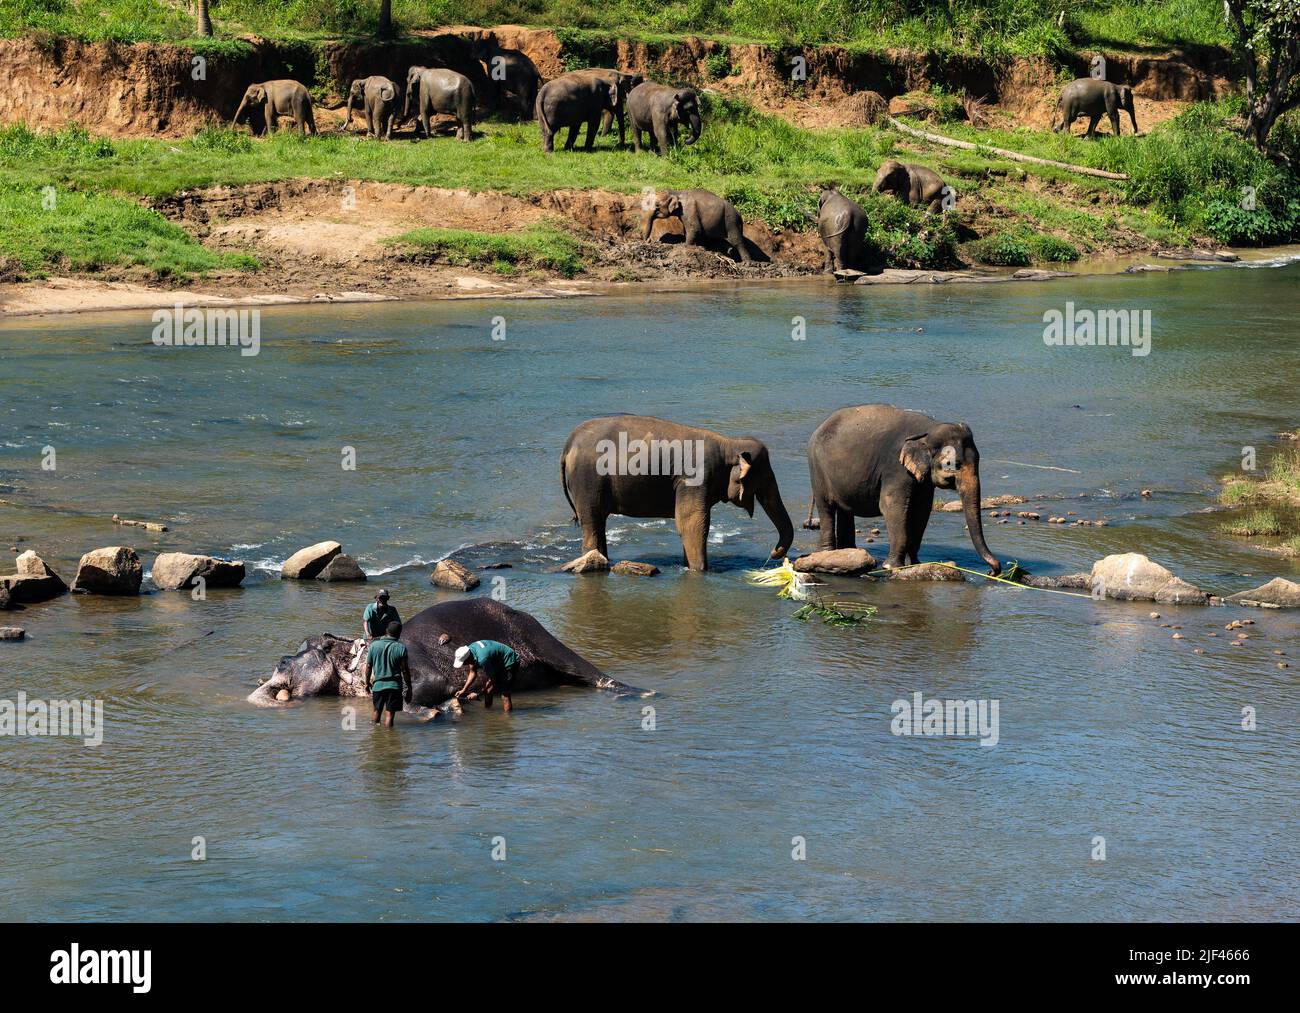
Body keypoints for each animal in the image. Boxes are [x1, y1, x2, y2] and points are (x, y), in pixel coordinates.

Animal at [561, 415, 795, 571]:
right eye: (765, 479)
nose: (773, 554)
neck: (728, 443)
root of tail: (569, 443)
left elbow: (689, 524)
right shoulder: (694, 478)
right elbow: (692, 523)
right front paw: (700, 571)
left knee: (598, 523)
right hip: (587, 481)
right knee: (592, 522)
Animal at [806, 404, 1001, 575]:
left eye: (978, 460)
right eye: (952, 464)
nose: (992, 571)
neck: (929, 429)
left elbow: (922, 510)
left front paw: (915, 563)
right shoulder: (895, 468)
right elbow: (892, 506)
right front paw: (891, 566)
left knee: (845, 510)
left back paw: (848, 552)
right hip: (817, 468)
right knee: (826, 507)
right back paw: (826, 552)